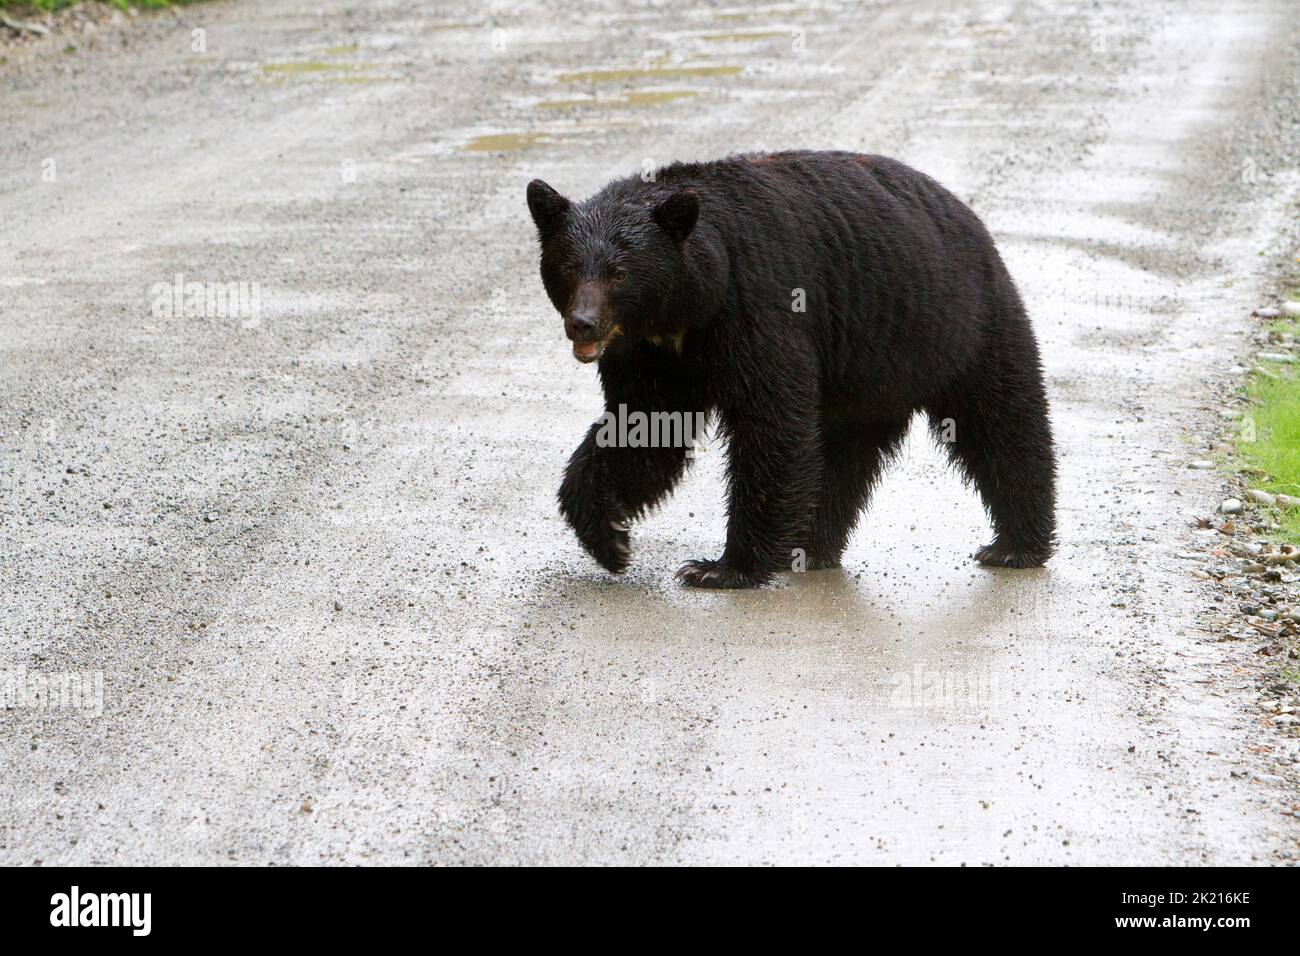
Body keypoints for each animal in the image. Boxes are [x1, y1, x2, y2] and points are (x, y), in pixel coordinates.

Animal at [526, 150, 1056, 589]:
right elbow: (644, 429)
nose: (583, 323)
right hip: (868, 371)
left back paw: (1016, 546)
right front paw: (610, 538)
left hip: (960, 323)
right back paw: (811, 546)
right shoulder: (648, 355)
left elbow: (771, 422)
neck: (685, 310)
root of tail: (968, 215)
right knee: (844, 455)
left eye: (619, 272)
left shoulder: (758, 304)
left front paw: (721, 568)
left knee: (1000, 422)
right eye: (568, 267)